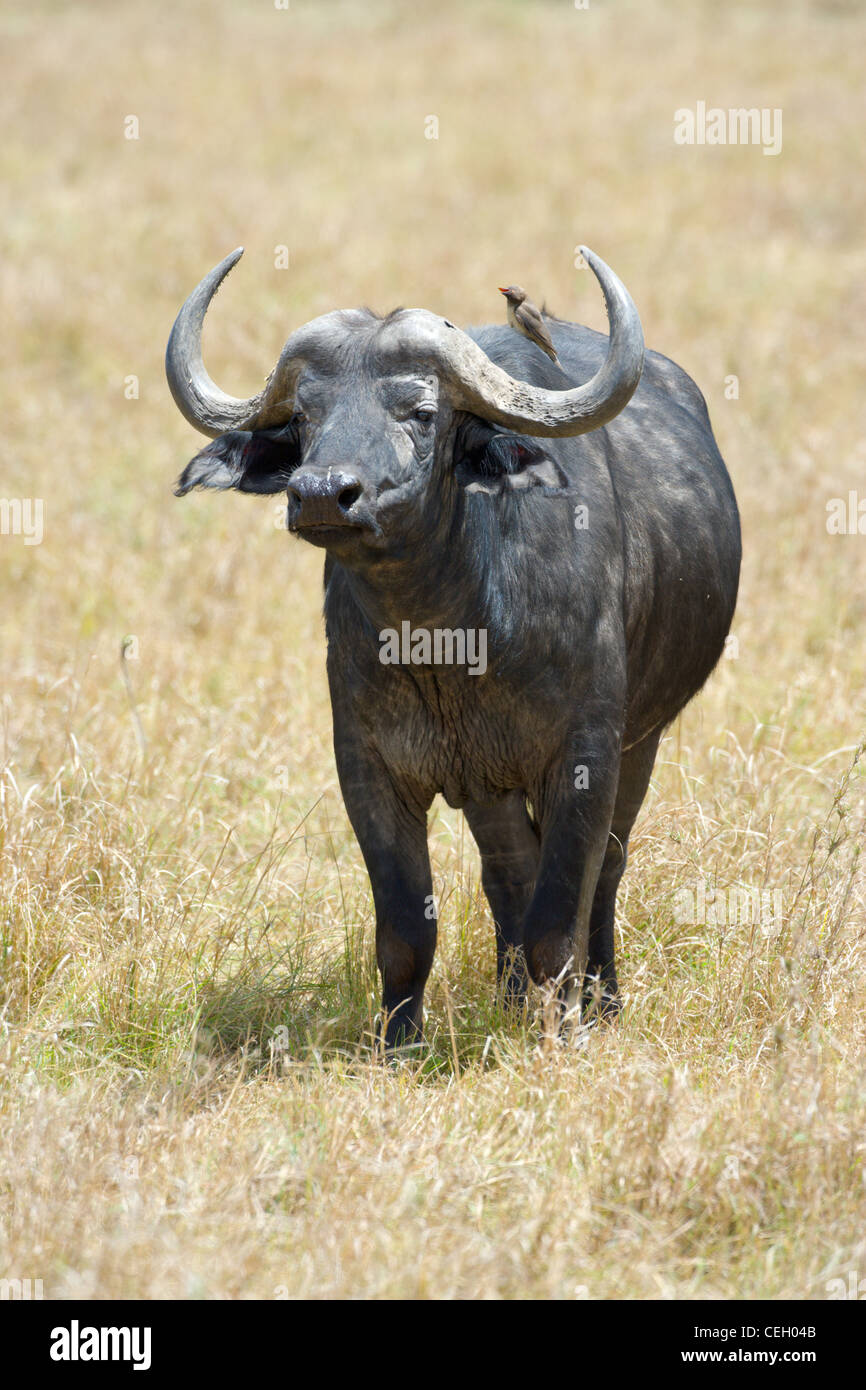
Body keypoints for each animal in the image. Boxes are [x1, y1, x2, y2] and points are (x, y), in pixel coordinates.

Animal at [166, 247, 740, 1047]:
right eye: (306, 416)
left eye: (421, 412)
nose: (322, 493)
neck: (450, 640)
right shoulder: (371, 768)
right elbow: (407, 930)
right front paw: (399, 1047)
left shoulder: (587, 758)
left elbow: (561, 913)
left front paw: (564, 1034)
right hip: (485, 782)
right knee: (507, 873)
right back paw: (511, 999)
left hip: (642, 739)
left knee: (605, 874)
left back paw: (599, 1001)